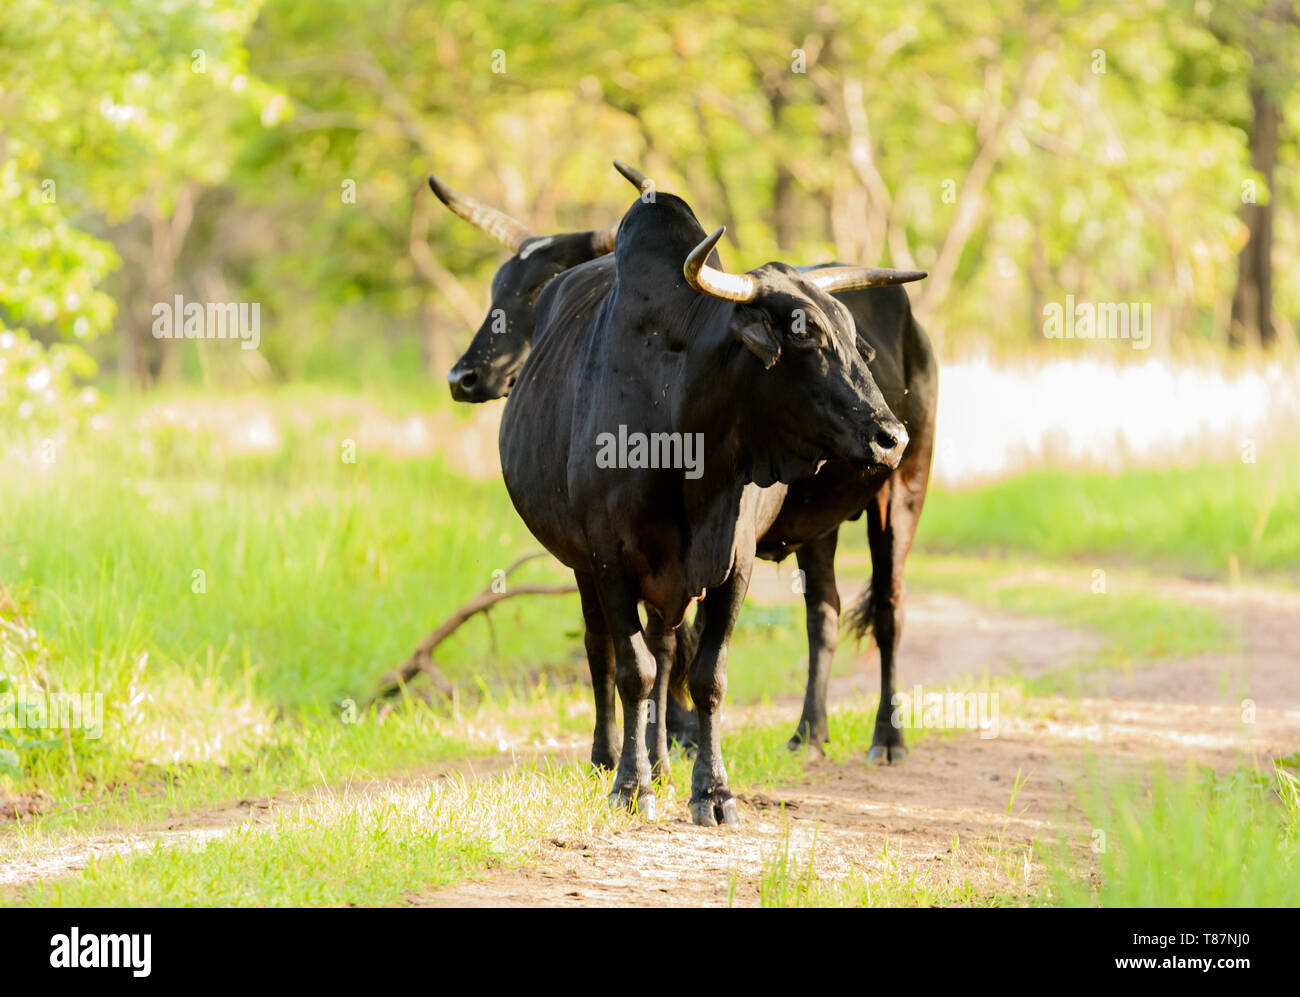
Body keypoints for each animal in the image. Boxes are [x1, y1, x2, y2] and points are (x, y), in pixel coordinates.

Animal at [435, 164, 937, 766]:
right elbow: (633, 656)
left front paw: (681, 752)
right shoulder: (604, 551)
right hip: (814, 526)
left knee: (888, 609)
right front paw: (636, 756)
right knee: (821, 611)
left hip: (902, 492)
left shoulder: (728, 551)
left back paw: (887, 737)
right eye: (806, 333)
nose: (462, 377)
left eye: (849, 337)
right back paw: (805, 733)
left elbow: (697, 662)